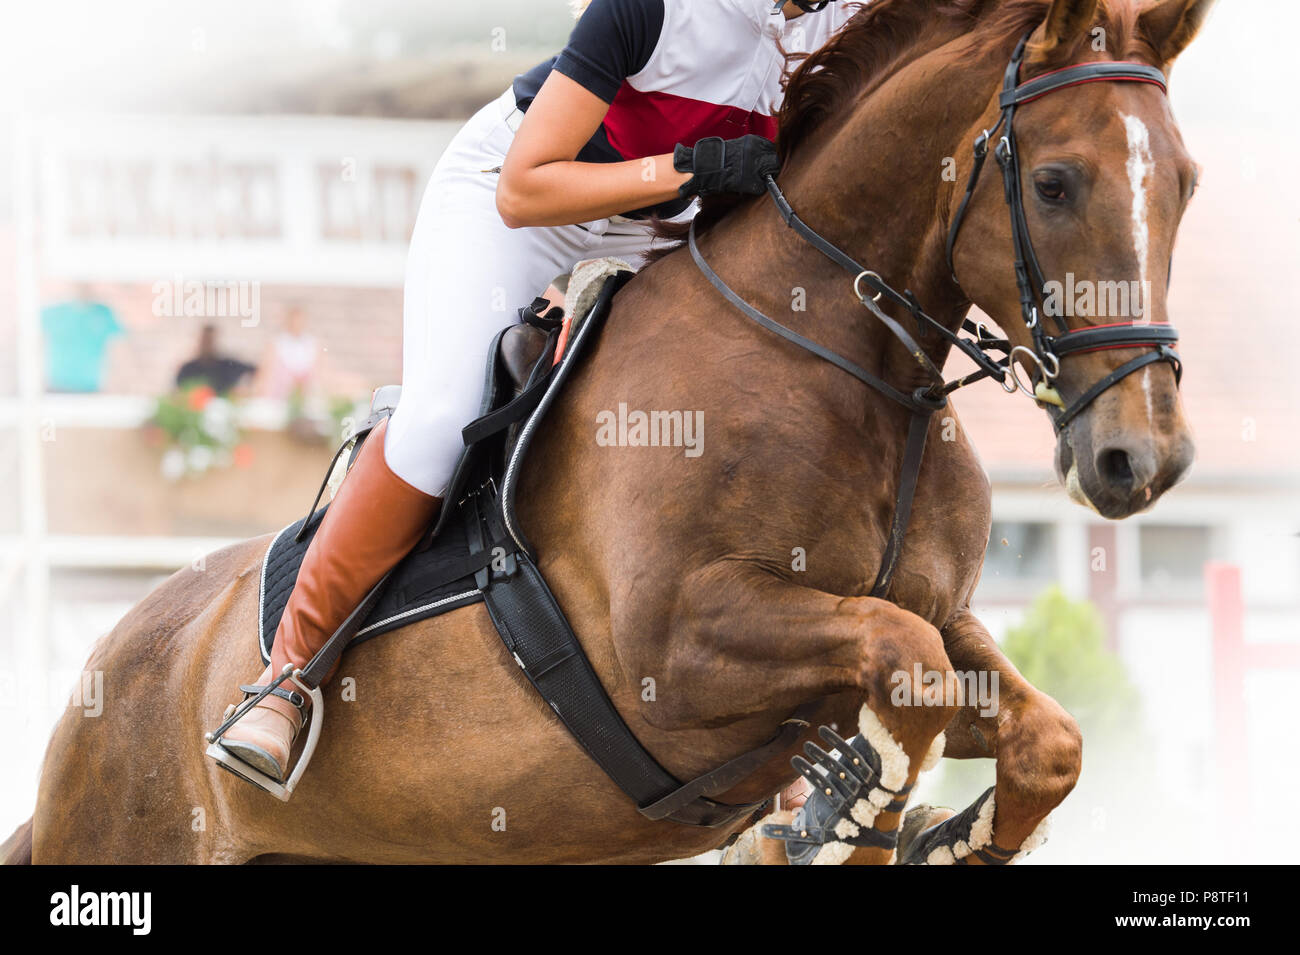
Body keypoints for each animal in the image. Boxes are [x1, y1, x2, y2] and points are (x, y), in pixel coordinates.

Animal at [8, 0, 1212, 865]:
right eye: (1052, 183)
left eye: (1186, 185)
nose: (1140, 459)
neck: (840, 362)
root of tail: (112, 667)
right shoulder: (675, 650)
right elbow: (903, 672)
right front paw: (840, 807)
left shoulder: (943, 616)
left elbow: (1037, 733)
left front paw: (923, 826)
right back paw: (267, 717)